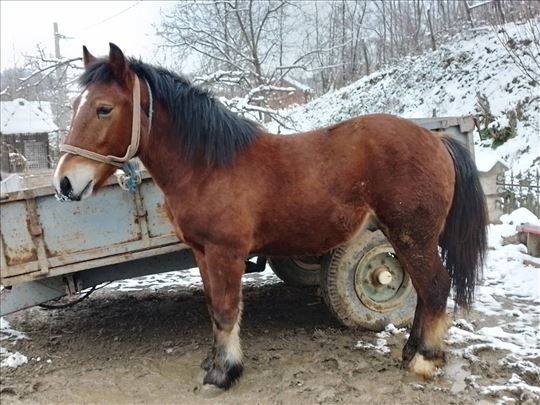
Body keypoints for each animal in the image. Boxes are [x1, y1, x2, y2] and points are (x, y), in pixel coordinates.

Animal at [52, 44, 488, 388]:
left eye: (104, 108)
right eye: (75, 106)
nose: (66, 183)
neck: (208, 165)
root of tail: (435, 138)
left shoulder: (225, 252)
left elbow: (226, 309)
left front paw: (225, 372)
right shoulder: (202, 253)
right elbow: (213, 307)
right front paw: (215, 363)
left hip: (412, 235)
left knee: (435, 286)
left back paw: (423, 359)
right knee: (426, 290)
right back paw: (412, 351)